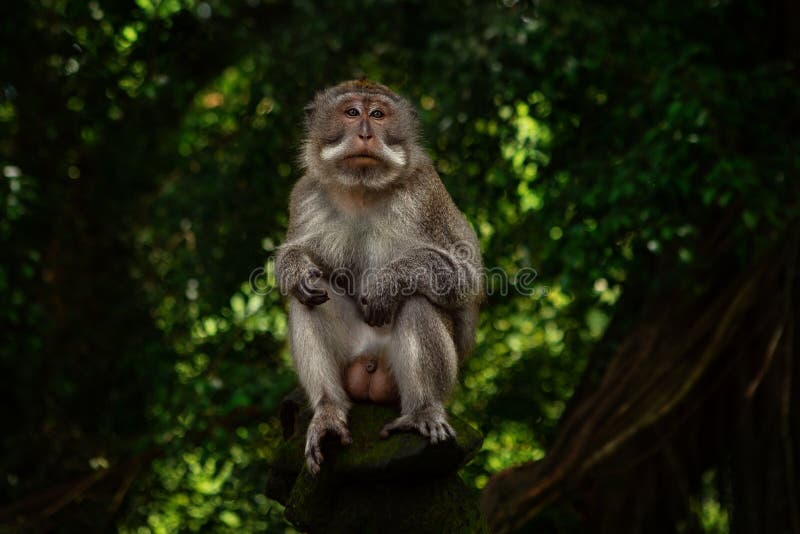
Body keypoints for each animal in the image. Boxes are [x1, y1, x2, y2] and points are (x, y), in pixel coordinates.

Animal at [275, 80, 483, 475]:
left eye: (378, 114)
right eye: (352, 112)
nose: (366, 133)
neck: (362, 190)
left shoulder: (426, 192)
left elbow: (467, 276)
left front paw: (389, 282)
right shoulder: (304, 195)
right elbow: (298, 262)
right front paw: (295, 268)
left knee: (417, 300)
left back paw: (422, 410)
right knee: (309, 299)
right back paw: (328, 411)